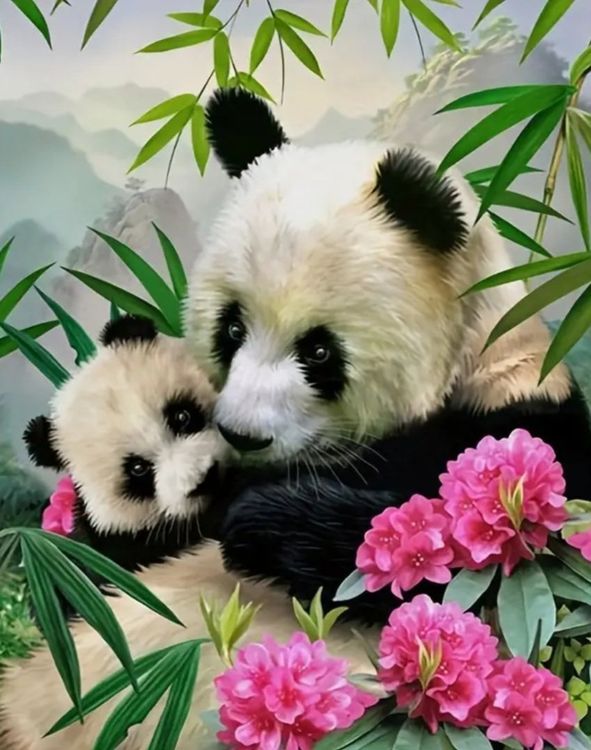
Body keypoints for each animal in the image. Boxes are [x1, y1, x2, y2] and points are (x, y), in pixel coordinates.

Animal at [184, 87, 591, 621]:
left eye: (319, 351)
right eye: (231, 327)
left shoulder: (525, 432)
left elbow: (455, 561)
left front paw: (255, 515)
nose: (242, 435)